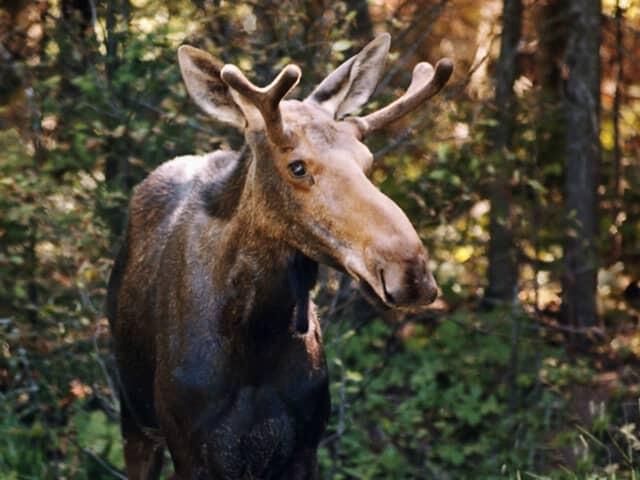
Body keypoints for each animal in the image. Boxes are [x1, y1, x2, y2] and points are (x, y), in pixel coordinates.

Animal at [107, 33, 452, 479]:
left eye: (367, 161)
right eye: (297, 166)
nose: (411, 271)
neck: (257, 338)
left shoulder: (303, 446)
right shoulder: (189, 449)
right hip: (134, 415)